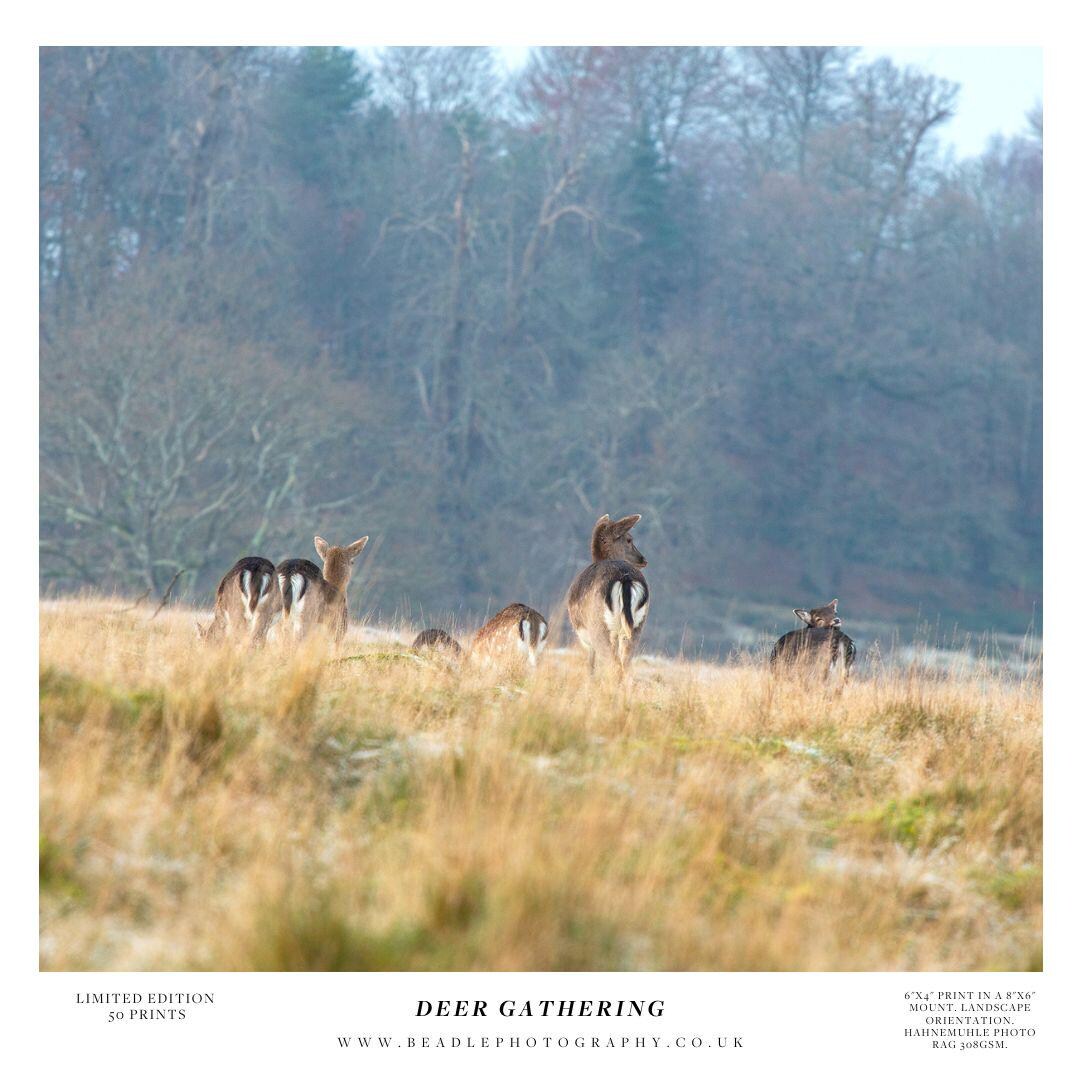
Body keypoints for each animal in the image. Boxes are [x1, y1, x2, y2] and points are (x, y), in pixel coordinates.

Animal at [567, 513, 649, 676]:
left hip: (599, 626)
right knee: (626, 664)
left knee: (614, 664)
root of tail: (625, 578)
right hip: (637, 626)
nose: (643, 559)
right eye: (629, 539)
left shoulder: (586, 640)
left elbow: (590, 667)